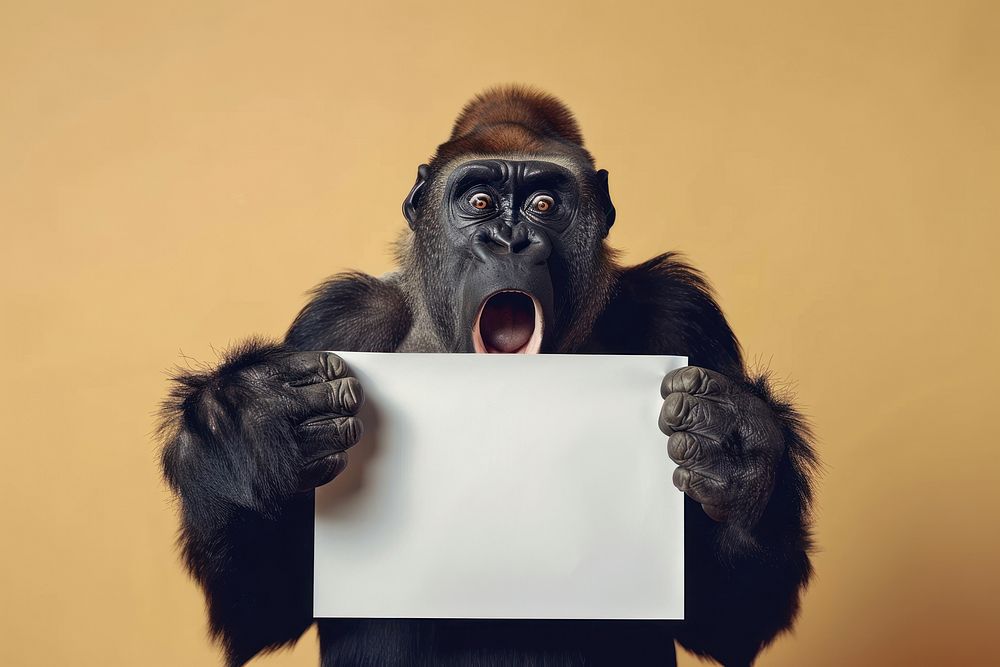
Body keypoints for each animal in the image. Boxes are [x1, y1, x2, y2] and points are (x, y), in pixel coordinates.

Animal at [159, 86, 816, 667]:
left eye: (545, 205)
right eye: (477, 202)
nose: (510, 240)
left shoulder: (683, 314)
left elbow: (728, 621)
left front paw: (738, 454)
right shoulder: (335, 323)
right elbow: (269, 608)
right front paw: (243, 422)